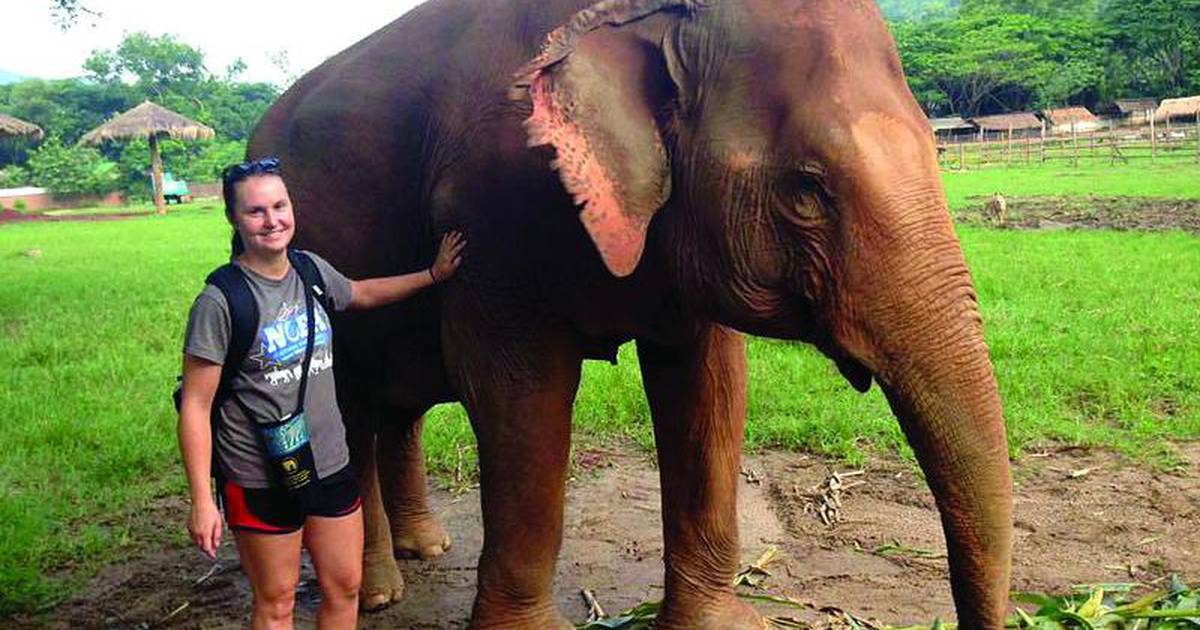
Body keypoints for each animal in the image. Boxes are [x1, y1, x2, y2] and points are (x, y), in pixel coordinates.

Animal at [248, 0, 1014, 627]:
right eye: (807, 189)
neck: (647, 17)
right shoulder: (494, 213)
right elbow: (520, 394)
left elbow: (709, 386)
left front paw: (717, 624)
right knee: (347, 408)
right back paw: (377, 592)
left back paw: (425, 549)